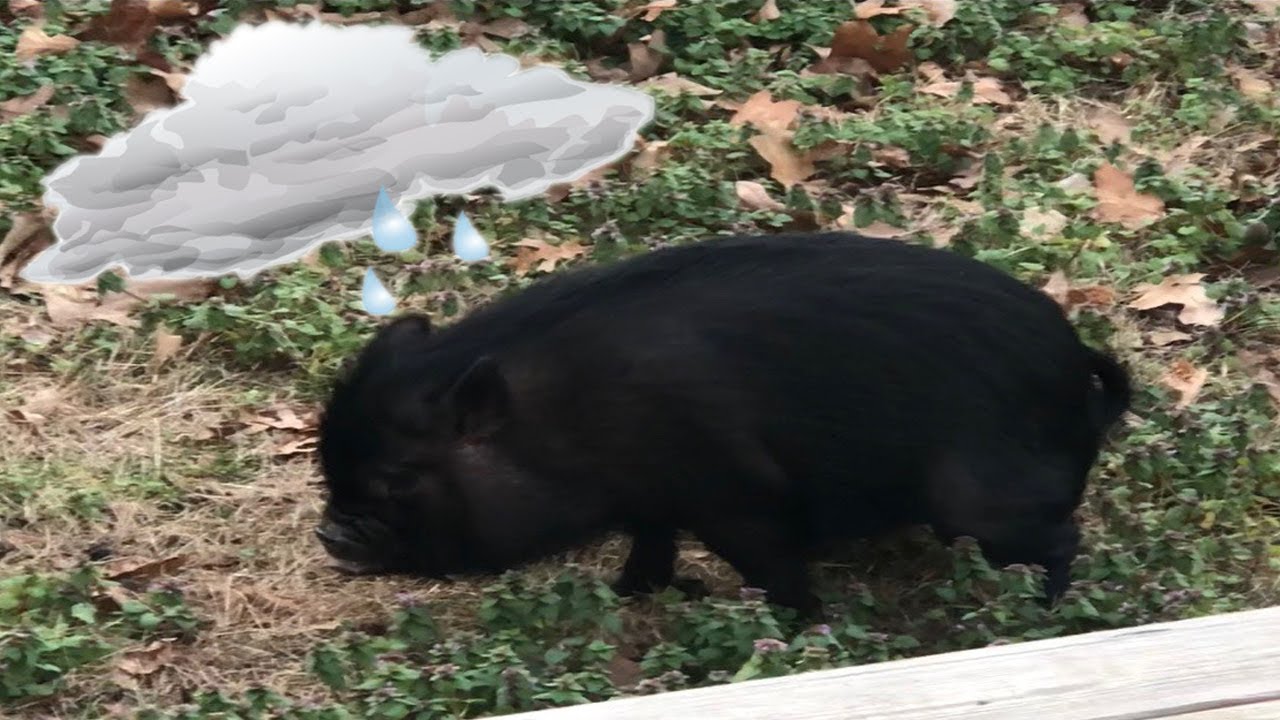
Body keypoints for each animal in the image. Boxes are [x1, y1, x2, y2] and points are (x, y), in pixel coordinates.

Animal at [314, 231, 1131, 617]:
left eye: (398, 479)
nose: (331, 533)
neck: (562, 419)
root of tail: (1073, 362)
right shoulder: (653, 499)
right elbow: (650, 548)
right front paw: (628, 596)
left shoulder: (734, 496)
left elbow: (773, 570)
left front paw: (803, 630)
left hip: (981, 504)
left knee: (1062, 541)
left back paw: (1037, 609)